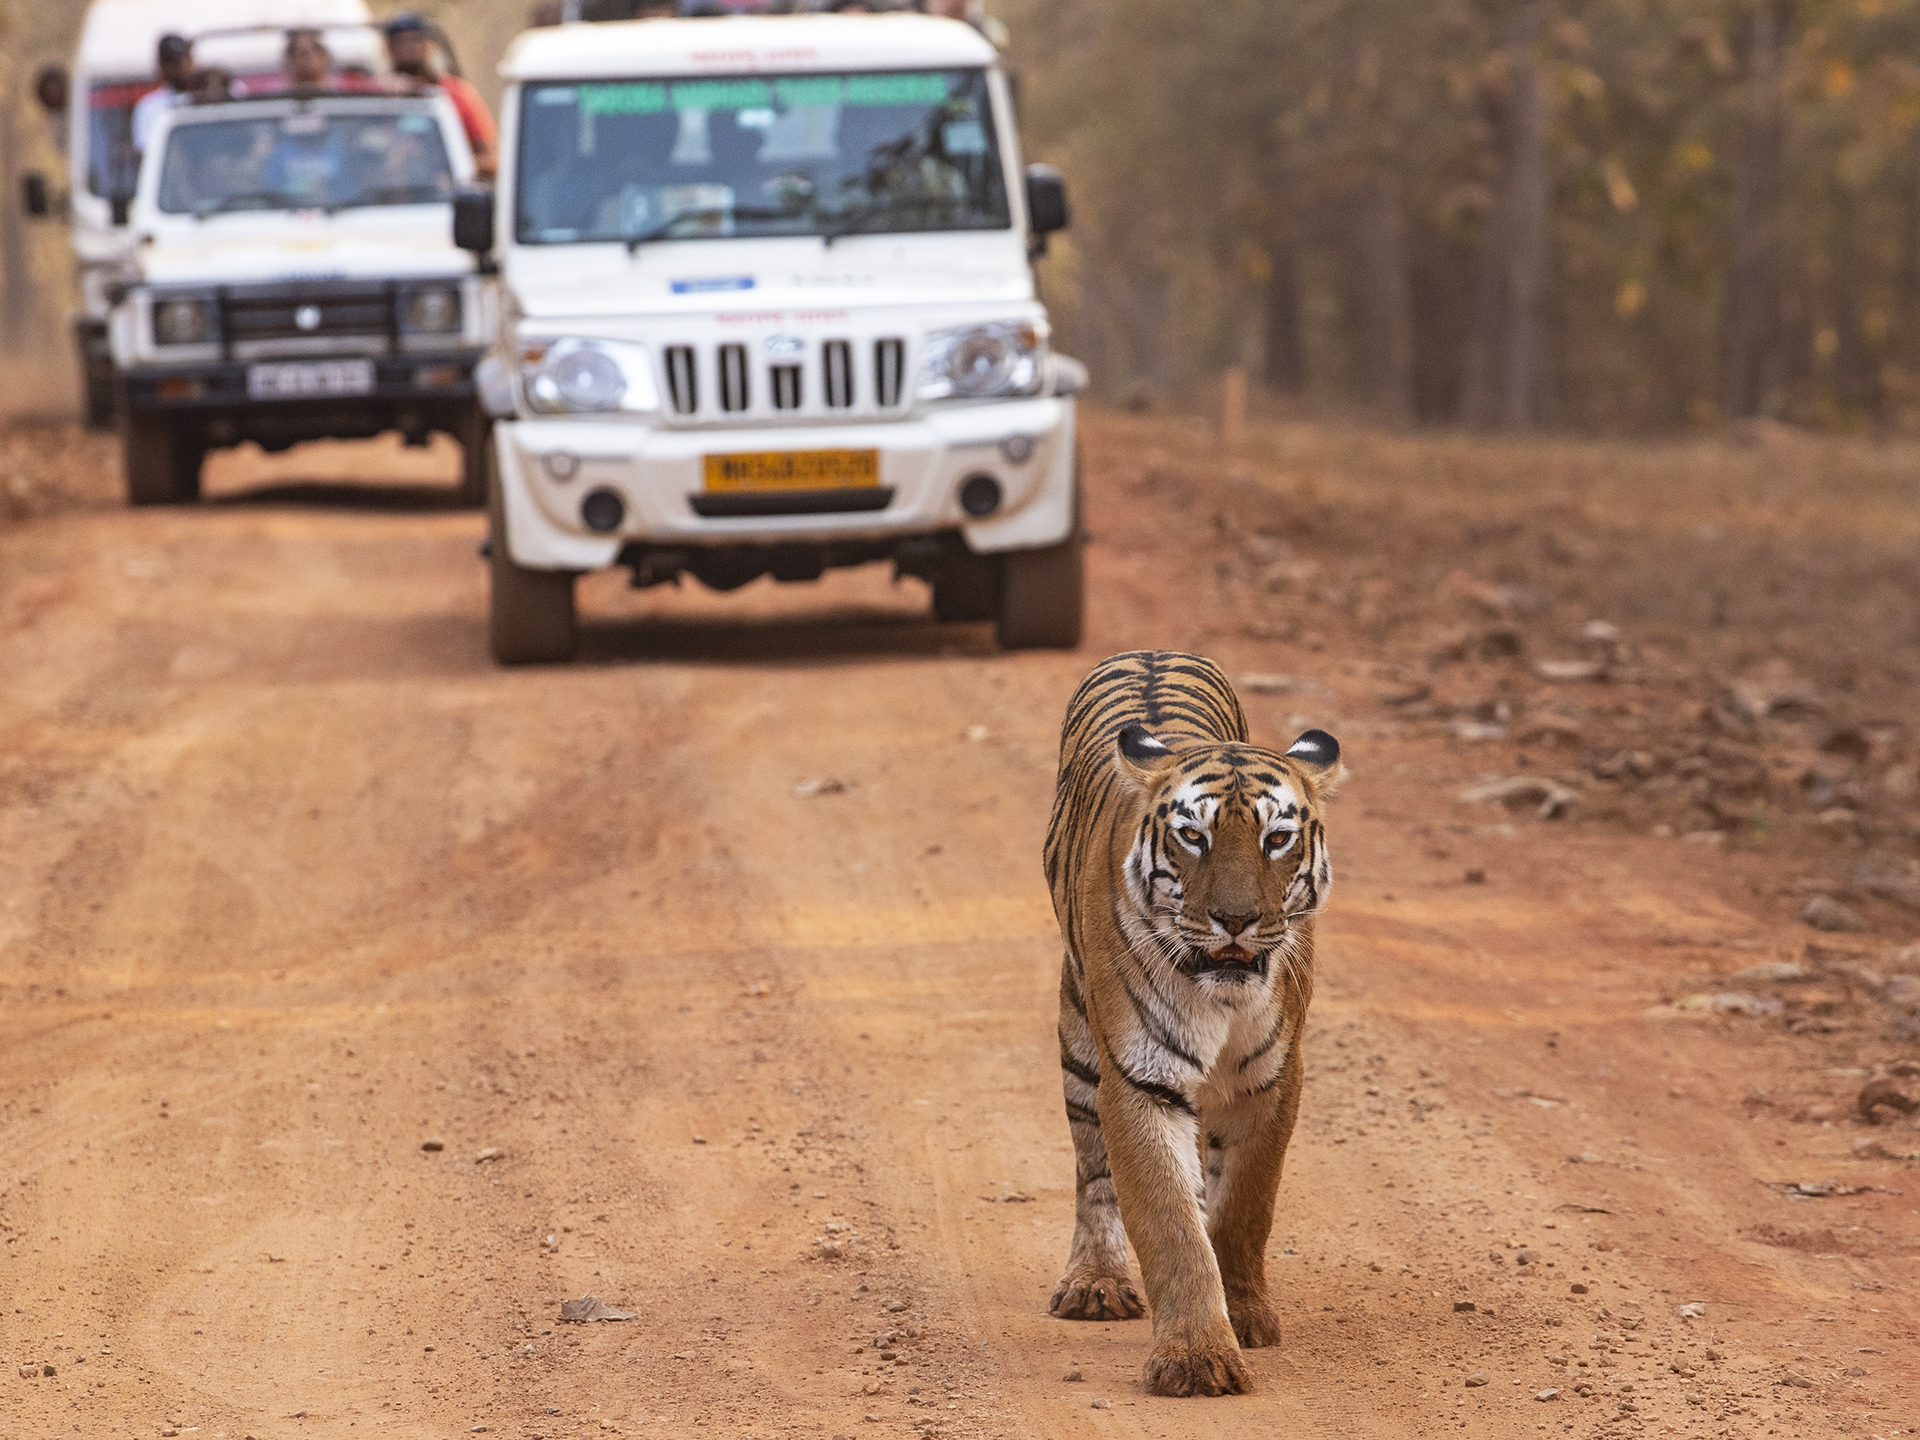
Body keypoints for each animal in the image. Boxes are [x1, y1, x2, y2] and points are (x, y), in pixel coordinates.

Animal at [1041, 650, 1341, 1398]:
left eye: (1276, 839)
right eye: (1193, 837)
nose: (1234, 919)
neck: (1223, 999)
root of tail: (1150, 651)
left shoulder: (1273, 1078)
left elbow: (1243, 1206)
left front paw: (1246, 1313)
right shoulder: (1139, 1079)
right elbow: (1168, 1221)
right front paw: (1196, 1357)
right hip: (1079, 1040)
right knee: (1093, 1174)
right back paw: (1094, 1283)